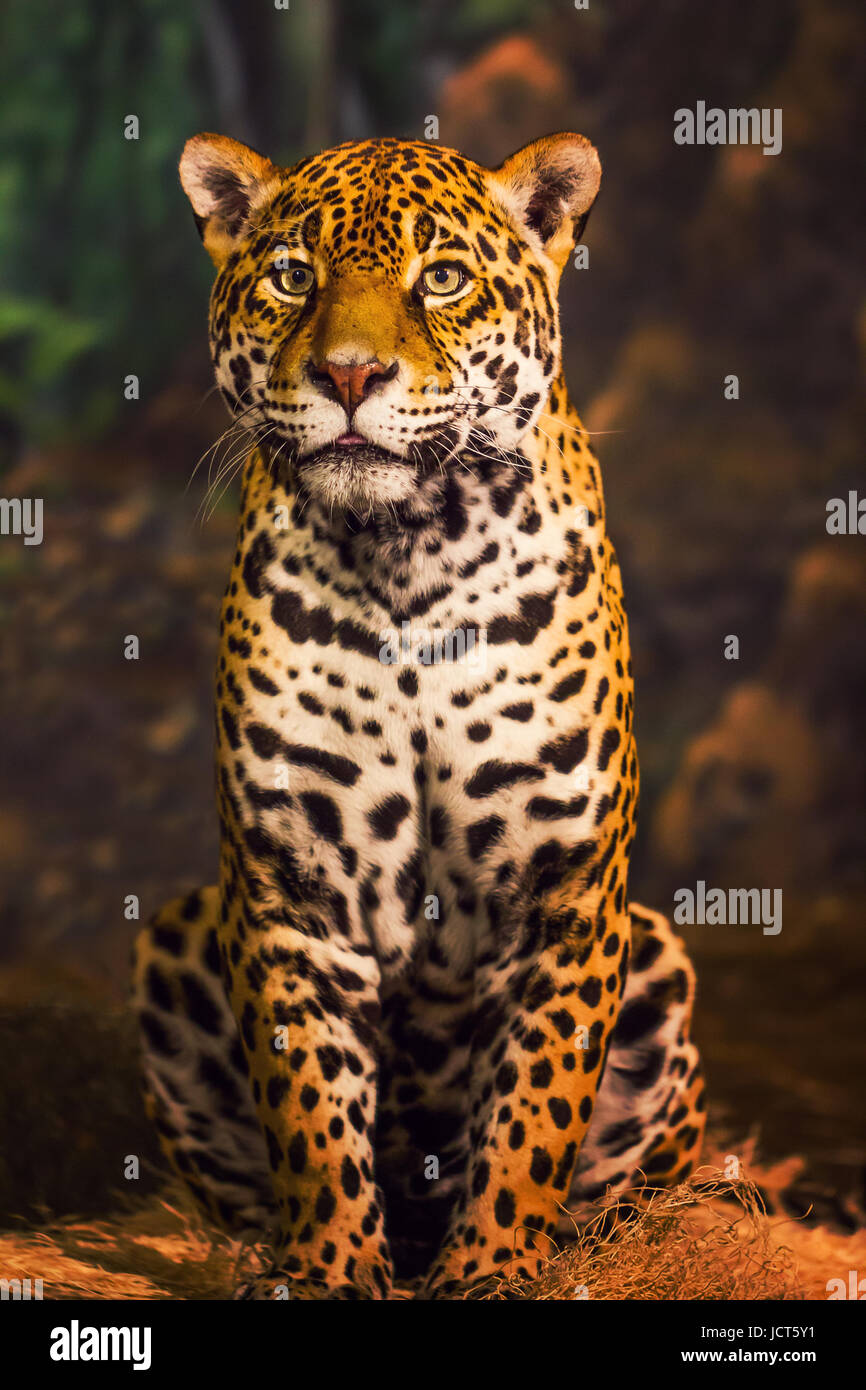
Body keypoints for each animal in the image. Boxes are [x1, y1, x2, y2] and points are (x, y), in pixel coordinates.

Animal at [132, 130, 706, 1299]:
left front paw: (492, 1268)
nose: (350, 374)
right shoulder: (291, 892)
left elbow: (531, 1110)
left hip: (660, 957)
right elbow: (310, 1116)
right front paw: (325, 1271)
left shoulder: (564, 895)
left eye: (439, 278)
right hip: (175, 938)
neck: (408, 556)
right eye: (290, 276)